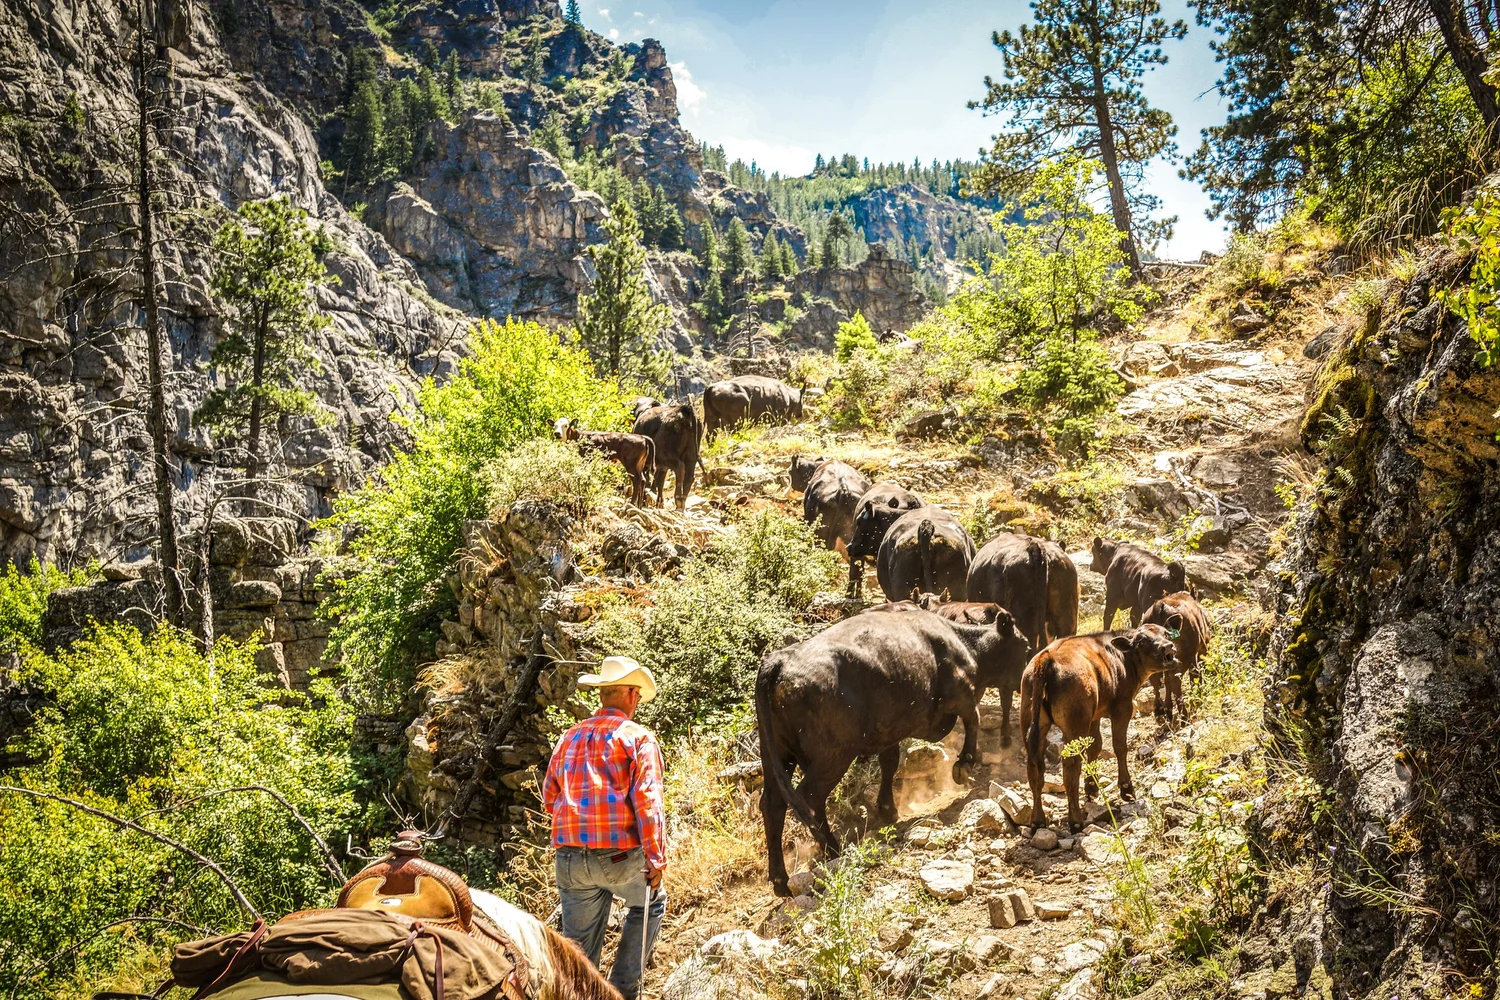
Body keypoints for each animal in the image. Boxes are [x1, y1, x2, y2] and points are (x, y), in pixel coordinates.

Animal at [755, 609, 1031, 895]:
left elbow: (890, 763)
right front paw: (964, 764)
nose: (1026, 678)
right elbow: (973, 719)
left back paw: (780, 880)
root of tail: (780, 660)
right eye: (1025, 646)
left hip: (777, 756)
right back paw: (833, 848)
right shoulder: (960, 693)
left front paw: (887, 808)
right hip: (833, 757)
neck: (964, 643)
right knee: (809, 797)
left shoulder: (889, 730)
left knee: (773, 804)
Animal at [1019, 623, 1182, 831]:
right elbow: (1119, 747)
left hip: (1032, 722)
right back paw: (1076, 821)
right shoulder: (1122, 708)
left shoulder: (1094, 717)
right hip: (1075, 725)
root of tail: (1047, 657)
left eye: (1167, 634)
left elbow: (1095, 746)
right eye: (1141, 642)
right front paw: (1126, 790)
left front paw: (1091, 787)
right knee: (1071, 767)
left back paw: (1038, 820)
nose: (1168, 647)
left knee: (1035, 768)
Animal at [1142, 591, 1212, 723]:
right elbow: (1196, 673)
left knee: (1157, 680)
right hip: (1184, 655)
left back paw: (1161, 711)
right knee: (1175, 678)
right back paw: (1184, 715)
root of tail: (1159, 606)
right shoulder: (1202, 646)